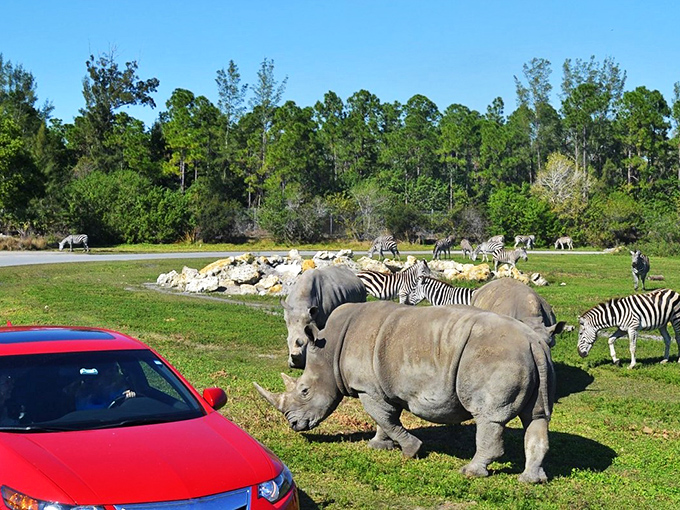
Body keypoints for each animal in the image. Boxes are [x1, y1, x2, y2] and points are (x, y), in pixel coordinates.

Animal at [255, 301, 557, 483]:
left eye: (304, 391)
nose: (294, 424)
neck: (328, 352)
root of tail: (534, 342)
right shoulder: (381, 386)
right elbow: (385, 418)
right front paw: (379, 445)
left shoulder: (367, 388)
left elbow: (385, 418)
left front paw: (411, 450)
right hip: (528, 357)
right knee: (536, 417)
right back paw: (531, 480)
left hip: (497, 356)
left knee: (488, 417)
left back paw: (470, 473)